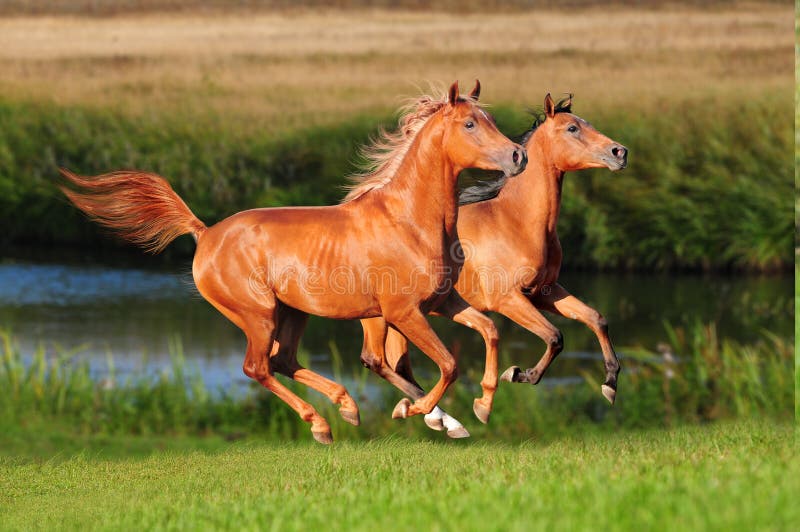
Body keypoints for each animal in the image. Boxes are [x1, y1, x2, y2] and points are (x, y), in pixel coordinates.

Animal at [59, 80, 527, 444]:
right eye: (470, 124)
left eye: (489, 119)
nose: (518, 157)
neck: (409, 221)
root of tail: (205, 233)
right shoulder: (404, 312)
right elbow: (448, 364)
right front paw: (419, 413)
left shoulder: (442, 303)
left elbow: (489, 331)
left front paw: (481, 407)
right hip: (259, 314)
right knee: (257, 367)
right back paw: (322, 424)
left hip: (293, 312)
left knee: (283, 361)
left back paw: (346, 408)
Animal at [358, 93, 628, 434]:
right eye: (572, 128)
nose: (620, 152)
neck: (516, 222)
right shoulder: (508, 300)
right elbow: (555, 336)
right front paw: (517, 375)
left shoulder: (546, 292)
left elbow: (595, 319)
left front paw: (610, 384)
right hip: (383, 316)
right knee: (376, 360)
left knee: (397, 364)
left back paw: (433, 416)